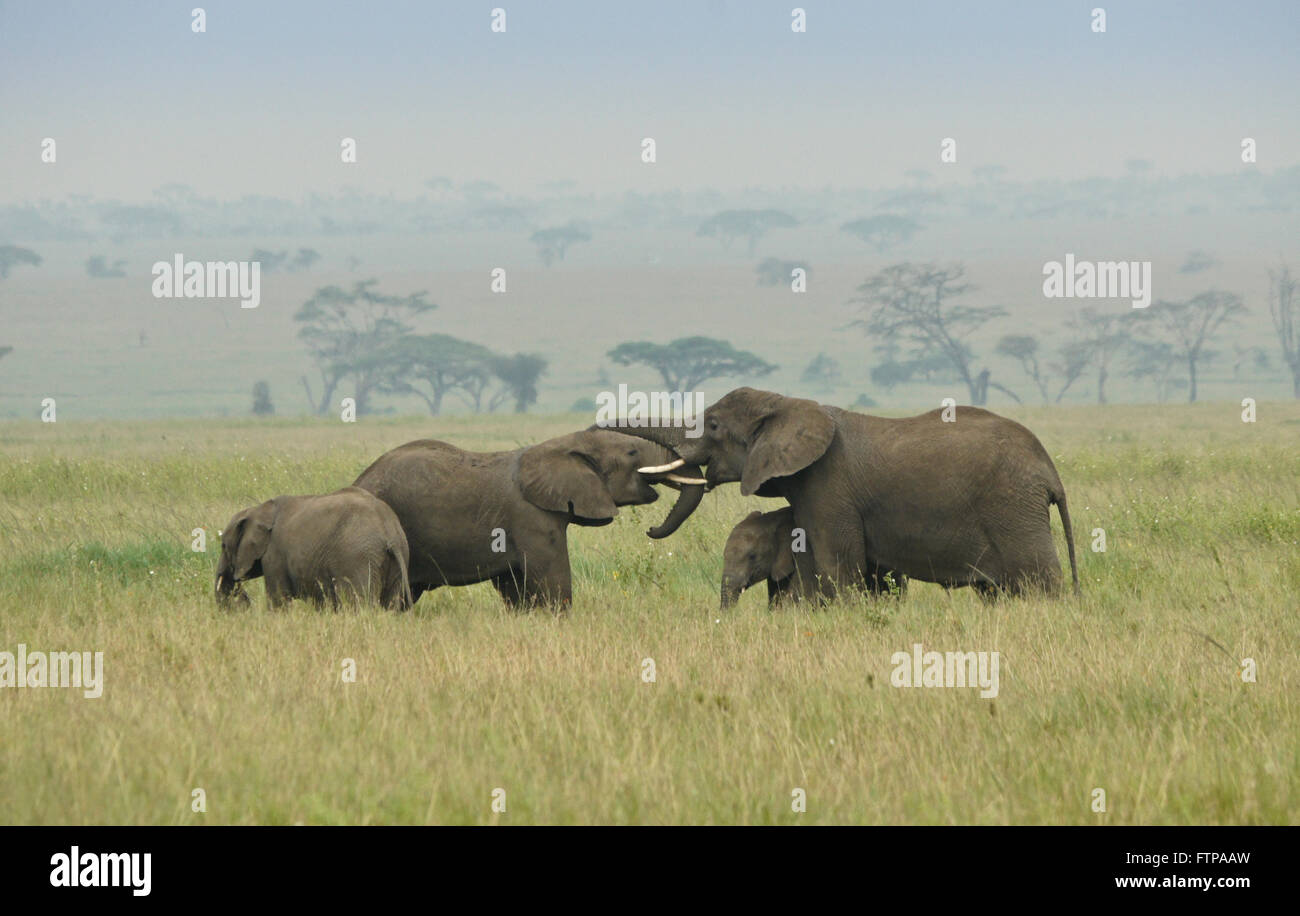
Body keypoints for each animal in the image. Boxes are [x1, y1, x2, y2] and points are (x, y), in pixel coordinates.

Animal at [214, 487, 412, 610]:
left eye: (223, 545)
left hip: (357, 559)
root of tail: (388, 532)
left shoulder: (273, 555)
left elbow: (279, 600)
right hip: (397, 558)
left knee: (357, 603)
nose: (242, 597)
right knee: (391, 603)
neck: (258, 510)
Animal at [352, 429, 706, 607]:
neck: (561, 445)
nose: (651, 529)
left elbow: (515, 587)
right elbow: (553, 582)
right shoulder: (532, 518)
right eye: (632, 453)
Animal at [624, 387, 1079, 598]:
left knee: (1040, 579)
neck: (785, 404)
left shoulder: (828, 490)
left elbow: (838, 567)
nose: (648, 529)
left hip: (1012, 505)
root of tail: (1049, 470)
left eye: (714, 425)